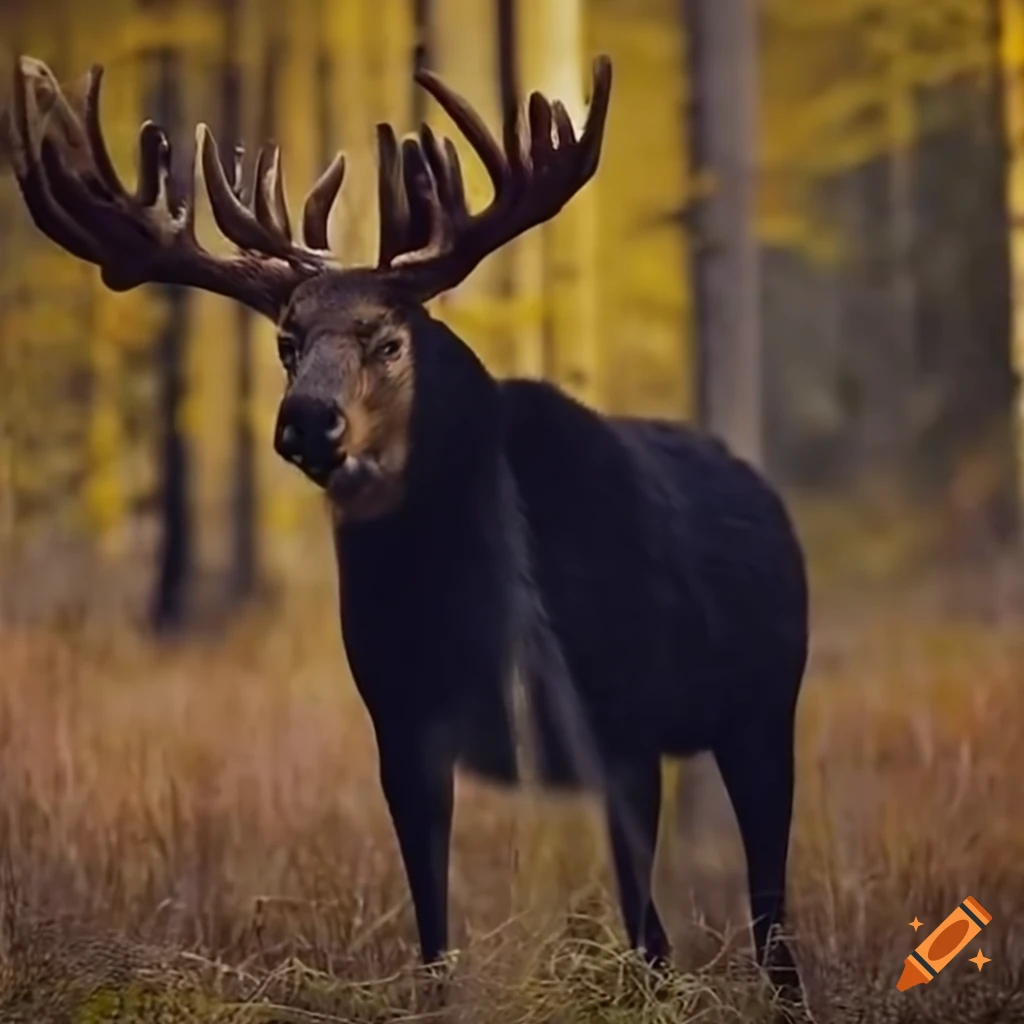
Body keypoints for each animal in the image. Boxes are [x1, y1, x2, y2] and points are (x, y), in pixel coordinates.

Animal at [6, 53, 808, 999]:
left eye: (387, 339)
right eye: (286, 341)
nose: (307, 422)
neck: (469, 615)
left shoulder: (621, 723)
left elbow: (649, 933)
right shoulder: (403, 726)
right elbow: (433, 923)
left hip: (766, 706)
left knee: (770, 909)